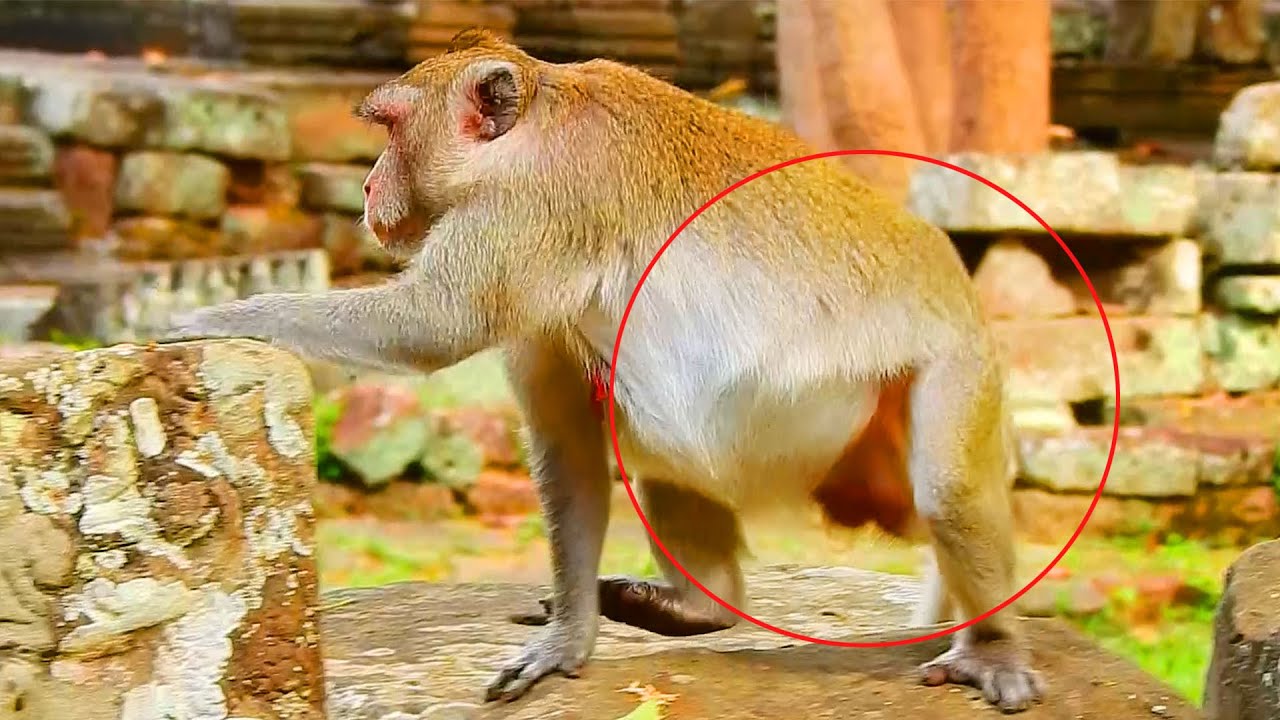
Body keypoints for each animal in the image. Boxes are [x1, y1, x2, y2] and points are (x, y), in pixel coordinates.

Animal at [167, 28, 1043, 713]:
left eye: (388, 128)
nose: (368, 184)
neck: (533, 127)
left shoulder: (528, 214)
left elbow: (430, 329)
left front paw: (207, 317)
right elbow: (568, 445)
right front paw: (570, 634)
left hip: (956, 365)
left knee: (947, 495)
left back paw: (994, 645)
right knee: (663, 429)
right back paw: (697, 607)